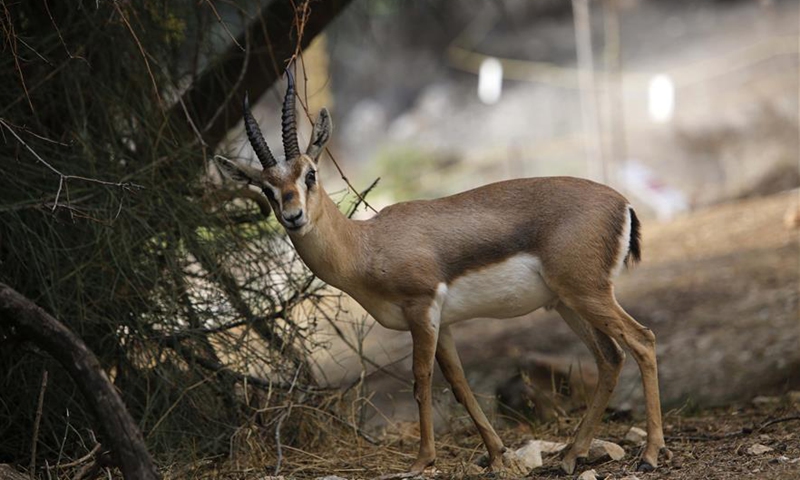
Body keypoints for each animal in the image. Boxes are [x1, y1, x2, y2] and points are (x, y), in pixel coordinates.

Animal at [217, 71, 671, 475]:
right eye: (267, 189)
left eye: (309, 173)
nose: (293, 216)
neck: (367, 245)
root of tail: (622, 203)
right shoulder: (445, 322)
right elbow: (459, 383)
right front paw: (496, 455)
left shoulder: (421, 309)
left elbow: (421, 382)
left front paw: (421, 462)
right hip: (566, 303)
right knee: (610, 357)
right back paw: (570, 456)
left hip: (588, 295)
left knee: (642, 340)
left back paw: (650, 455)